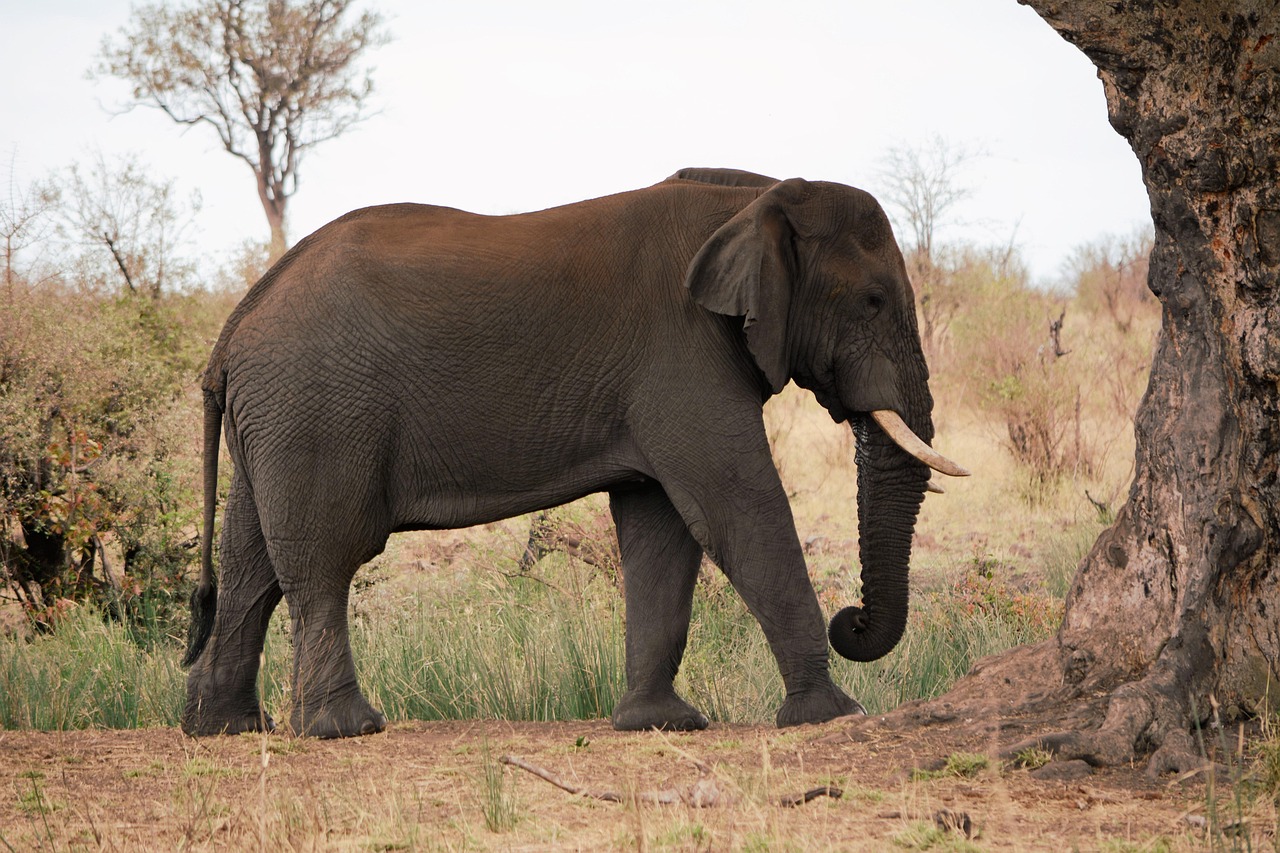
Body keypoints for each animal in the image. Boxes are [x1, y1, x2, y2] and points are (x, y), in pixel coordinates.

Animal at [181, 167, 968, 739]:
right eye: (872, 301)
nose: (853, 621)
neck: (753, 198)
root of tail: (232, 329)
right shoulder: (683, 355)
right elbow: (740, 507)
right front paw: (832, 714)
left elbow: (661, 527)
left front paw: (660, 725)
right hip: (316, 411)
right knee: (324, 557)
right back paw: (345, 729)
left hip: (276, 419)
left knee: (250, 563)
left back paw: (223, 728)